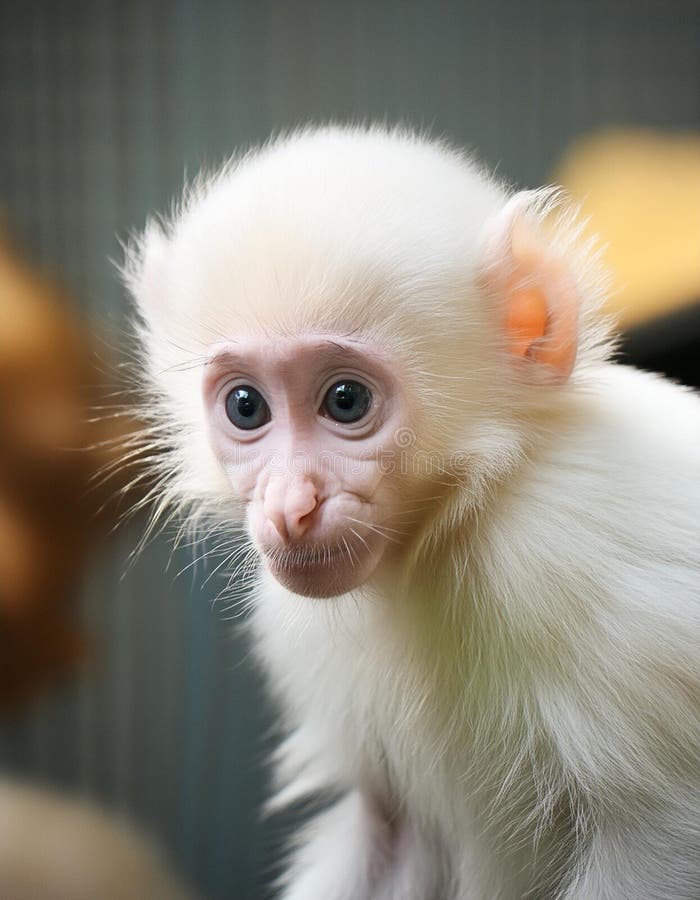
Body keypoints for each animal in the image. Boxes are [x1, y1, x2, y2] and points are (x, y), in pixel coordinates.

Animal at [124, 126, 700, 900]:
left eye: (345, 401)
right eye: (246, 407)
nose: (290, 505)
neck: (454, 524)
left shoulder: (560, 551)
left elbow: (657, 831)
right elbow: (390, 831)